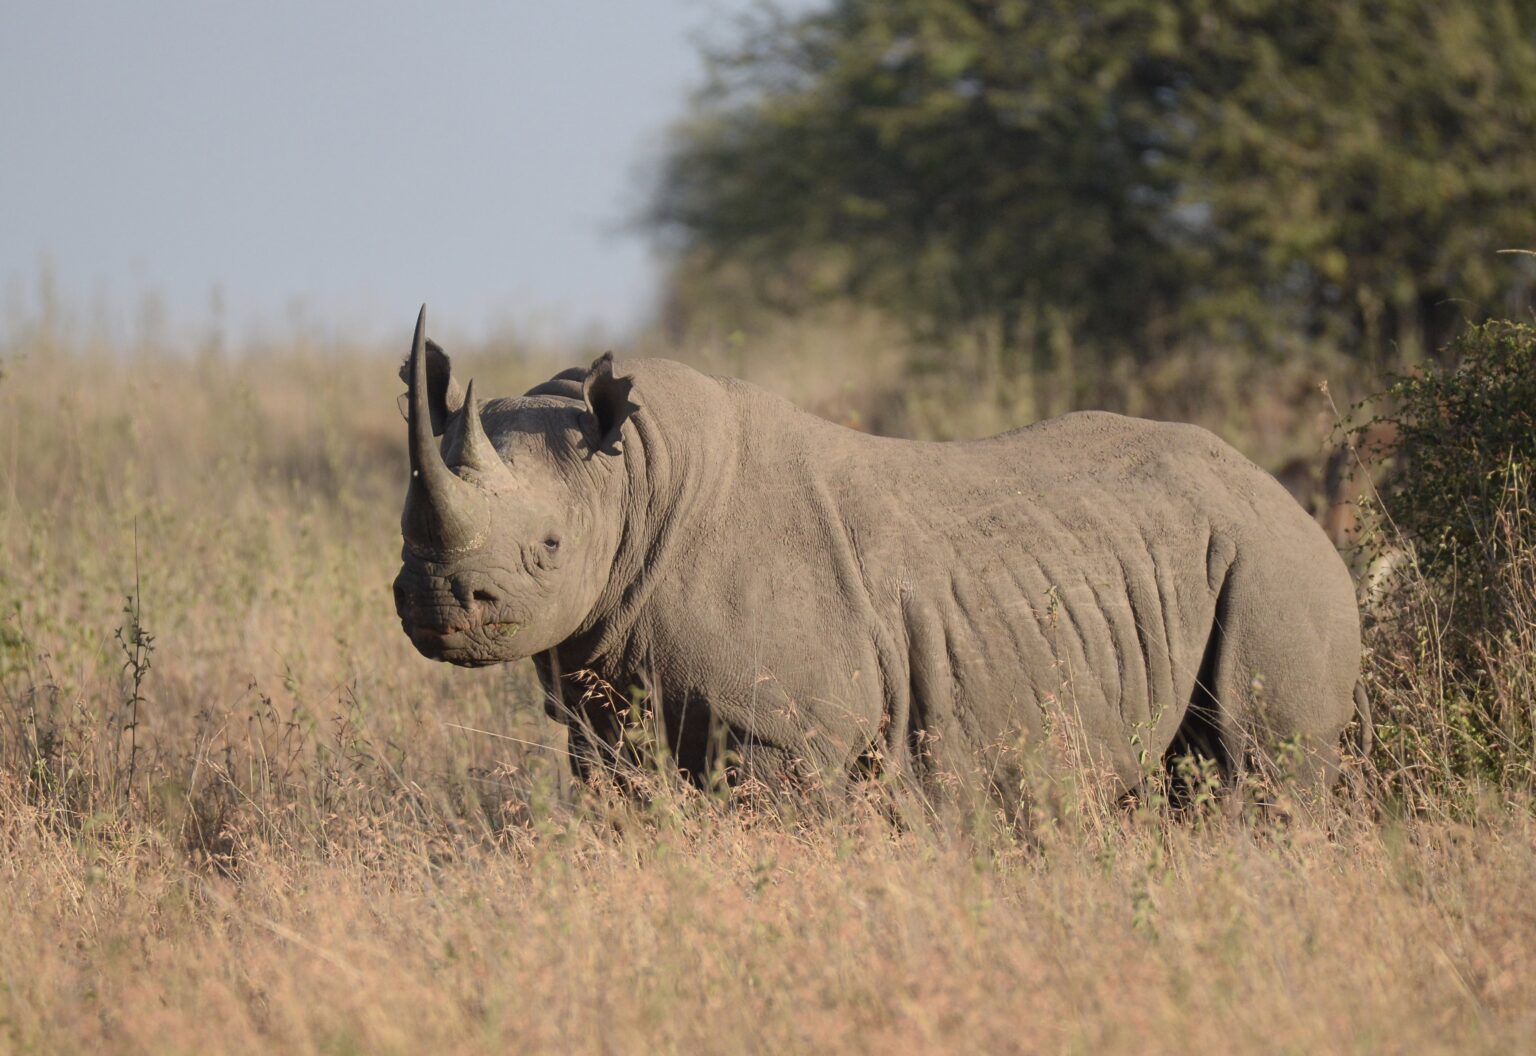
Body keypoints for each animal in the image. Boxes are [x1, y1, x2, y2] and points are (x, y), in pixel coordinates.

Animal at [393, 307, 1366, 805]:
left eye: (550, 548)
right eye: (403, 532)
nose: (439, 604)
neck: (632, 477)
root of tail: (1288, 499)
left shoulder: (786, 725)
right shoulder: (599, 700)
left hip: (1273, 564)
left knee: (1258, 761)